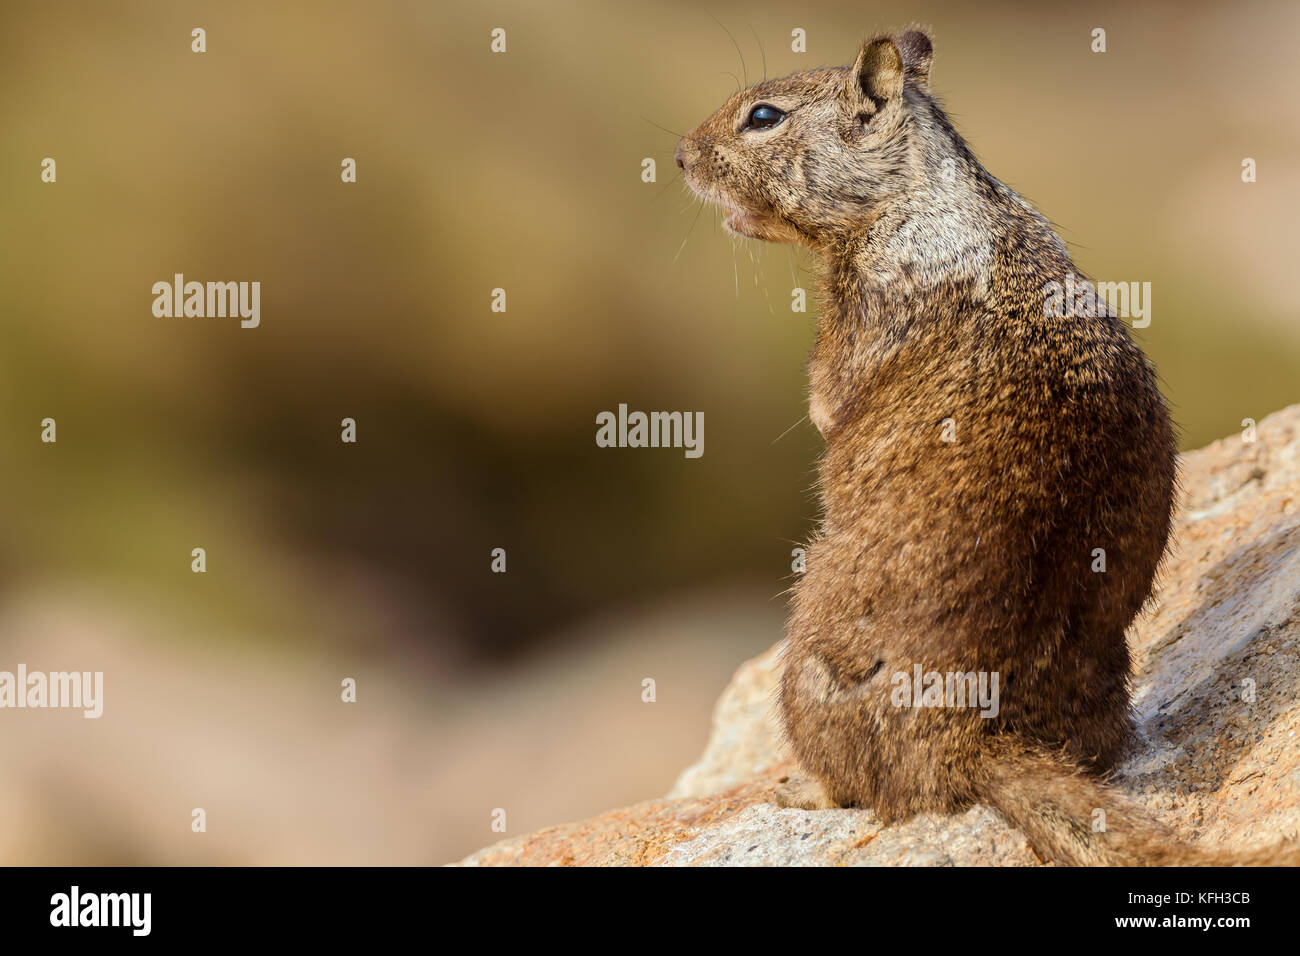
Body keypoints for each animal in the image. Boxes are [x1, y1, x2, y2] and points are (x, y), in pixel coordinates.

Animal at [675, 29, 1297, 866]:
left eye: (762, 116)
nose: (680, 155)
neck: (922, 194)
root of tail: (970, 741)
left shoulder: (858, 318)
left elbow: (827, 396)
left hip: (806, 670)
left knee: (862, 785)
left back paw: (800, 785)